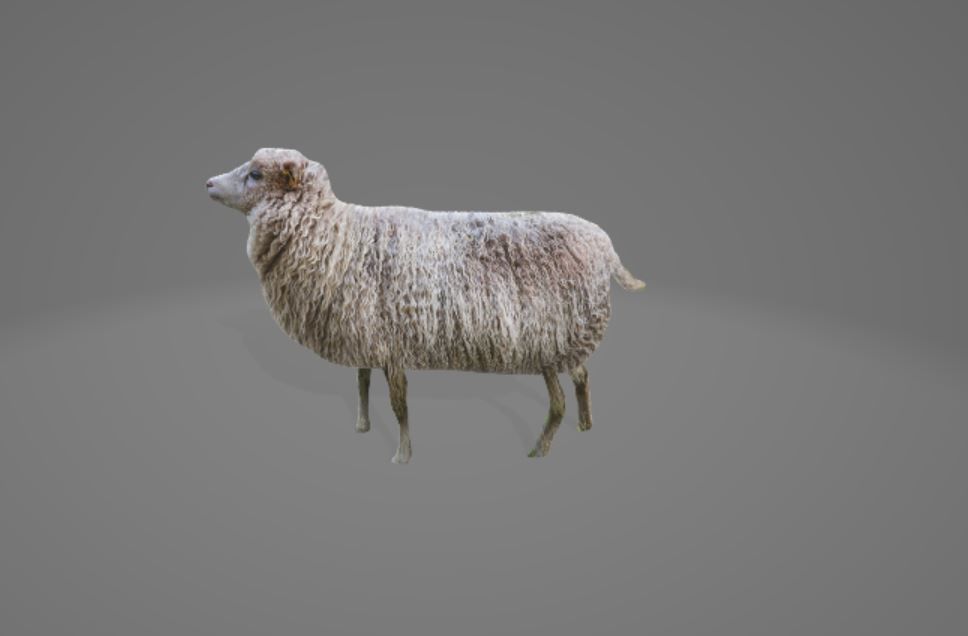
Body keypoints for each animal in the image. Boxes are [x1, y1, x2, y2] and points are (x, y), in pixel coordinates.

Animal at [206, 148, 645, 463]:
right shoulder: (367, 332)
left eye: (256, 174)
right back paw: (586, 425)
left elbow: (399, 406)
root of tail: (604, 244)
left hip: (548, 339)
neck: (338, 237)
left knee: (557, 403)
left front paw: (402, 456)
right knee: (582, 377)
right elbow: (362, 382)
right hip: (568, 338)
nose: (208, 183)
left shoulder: (393, 344)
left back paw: (539, 450)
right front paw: (362, 426)